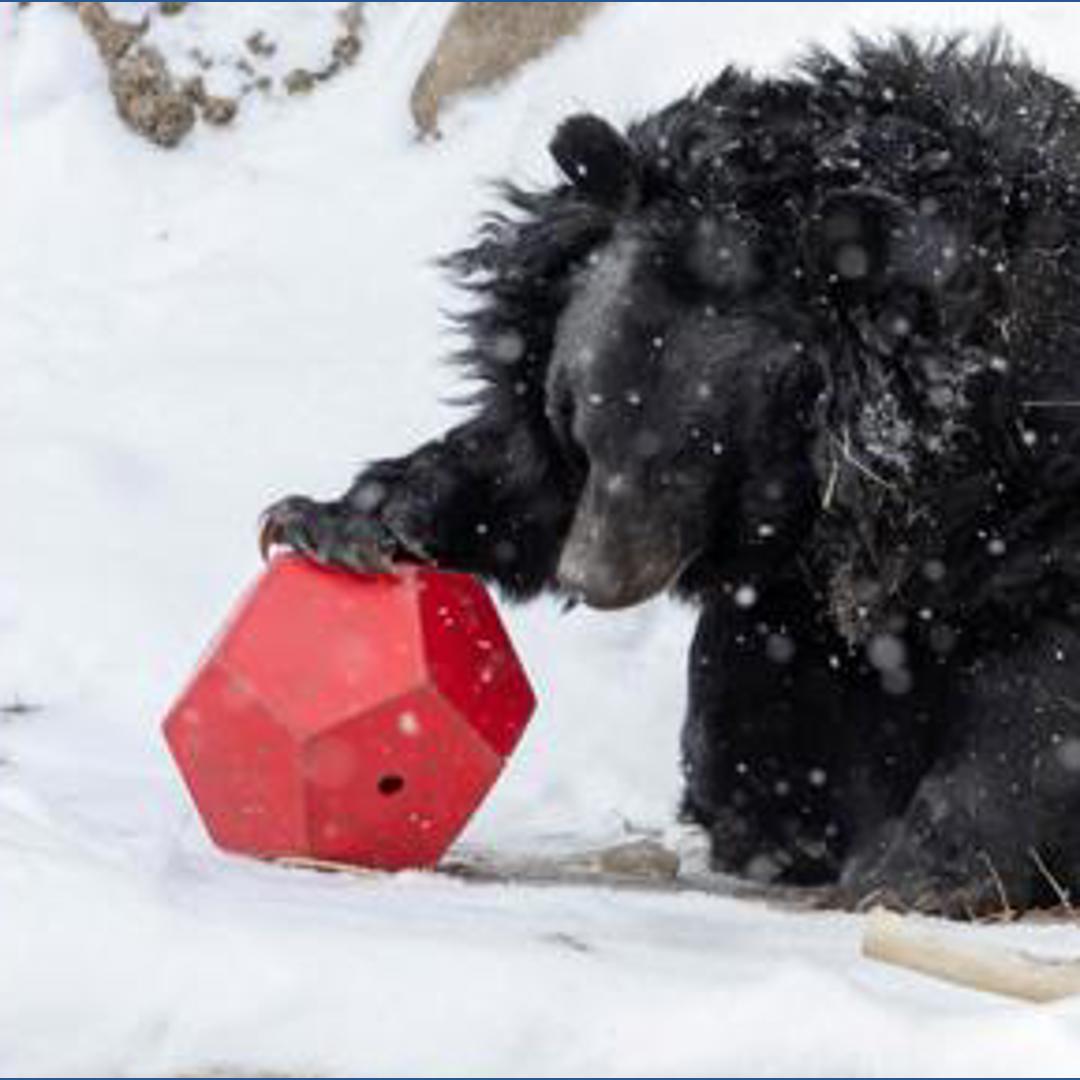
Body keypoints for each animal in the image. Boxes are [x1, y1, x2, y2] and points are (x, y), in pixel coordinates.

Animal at [261, 34, 1080, 916]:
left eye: (696, 453)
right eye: (580, 421)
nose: (591, 577)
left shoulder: (1032, 488)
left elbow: (1037, 696)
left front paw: (918, 873)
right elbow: (520, 481)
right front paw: (336, 526)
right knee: (740, 732)